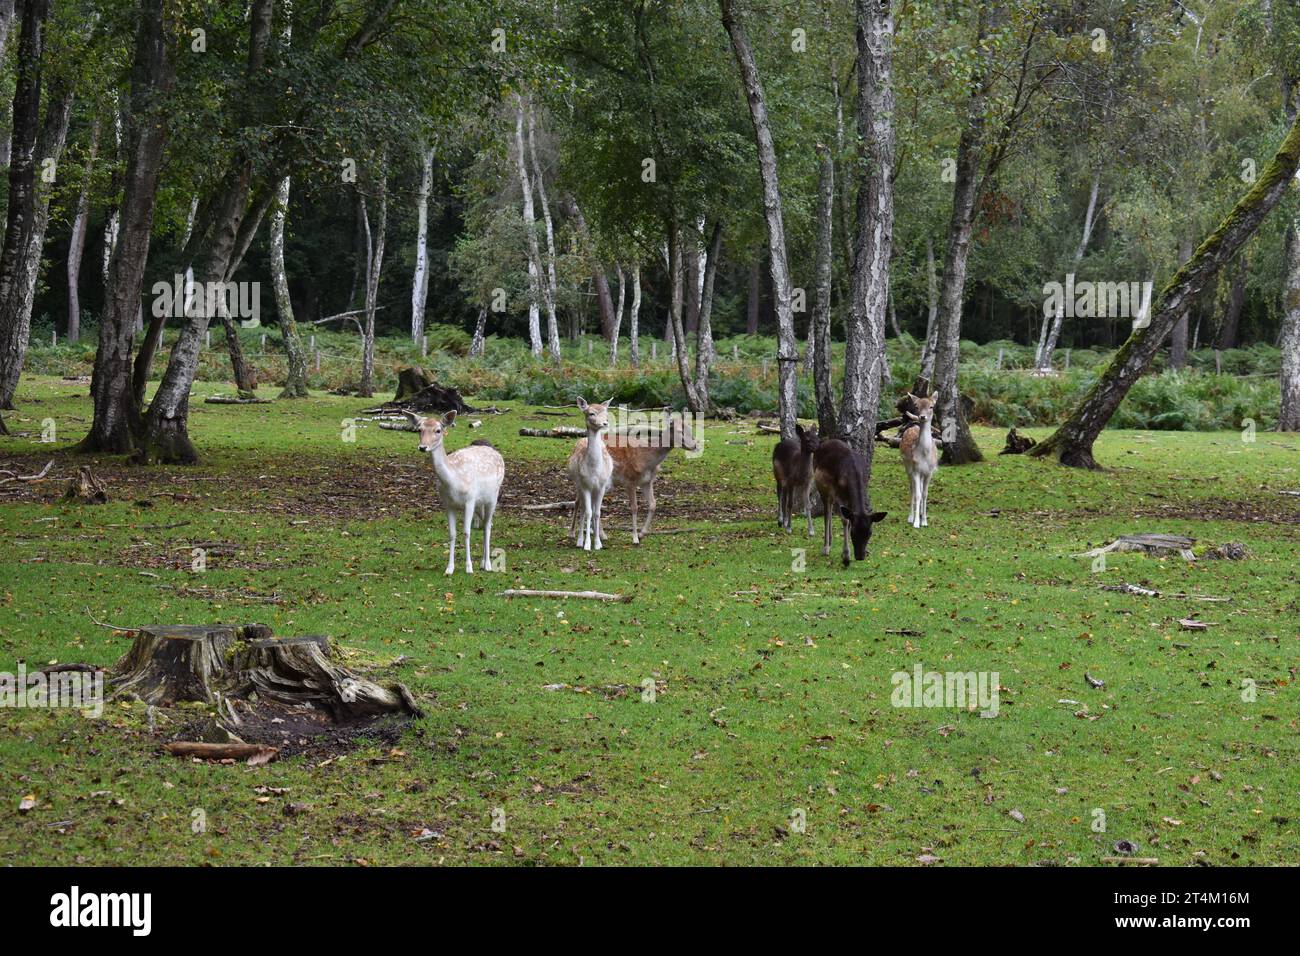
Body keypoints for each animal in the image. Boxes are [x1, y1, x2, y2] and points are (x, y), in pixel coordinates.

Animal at [403, 409, 505, 575]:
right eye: (419, 429)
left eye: (438, 430)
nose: (422, 447)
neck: (453, 482)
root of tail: (496, 452)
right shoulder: (447, 503)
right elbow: (452, 534)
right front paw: (449, 568)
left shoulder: (469, 500)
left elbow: (467, 532)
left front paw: (469, 568)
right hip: (480, 502)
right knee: (484, 523)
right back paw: (482, 562)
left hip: (493, 496)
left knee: (488, 525)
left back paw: (488, 564)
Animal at [567, 396, 615, 550]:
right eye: (592, 413)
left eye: (606, 412)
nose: (605, 423)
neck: (594, 470)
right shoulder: (585, 485)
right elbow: (588, 512)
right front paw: (587, 544)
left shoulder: (601, 486)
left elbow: (597, 513)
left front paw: (598, 543)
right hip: (577, 484)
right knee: (579, 504)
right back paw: (576, 537)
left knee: (591, 508)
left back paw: (600, 534)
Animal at [570, 410, 699, 545]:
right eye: (679, 431)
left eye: (690, 428)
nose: (695, 445)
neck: (646, 460)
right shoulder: (629, 480)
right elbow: (634, 507)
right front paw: (635, 538)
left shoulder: (647, 482)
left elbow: (653, 504)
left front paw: (642, 533)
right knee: (583, 502)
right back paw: (582, 534)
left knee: (585, 502)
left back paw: (593, 534)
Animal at [899, 392, 939, 528]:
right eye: (916, 406)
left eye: (931, 406)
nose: (922, 416)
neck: (925, 455)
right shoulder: (916, 470)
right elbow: (917, 495)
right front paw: (916, 523)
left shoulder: (929, 471)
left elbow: (925, 494)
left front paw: (925, 521)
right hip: (907, 467)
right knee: (912, 489)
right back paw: (911, 517)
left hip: (921, 473)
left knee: (920, 489)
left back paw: (921, 514)